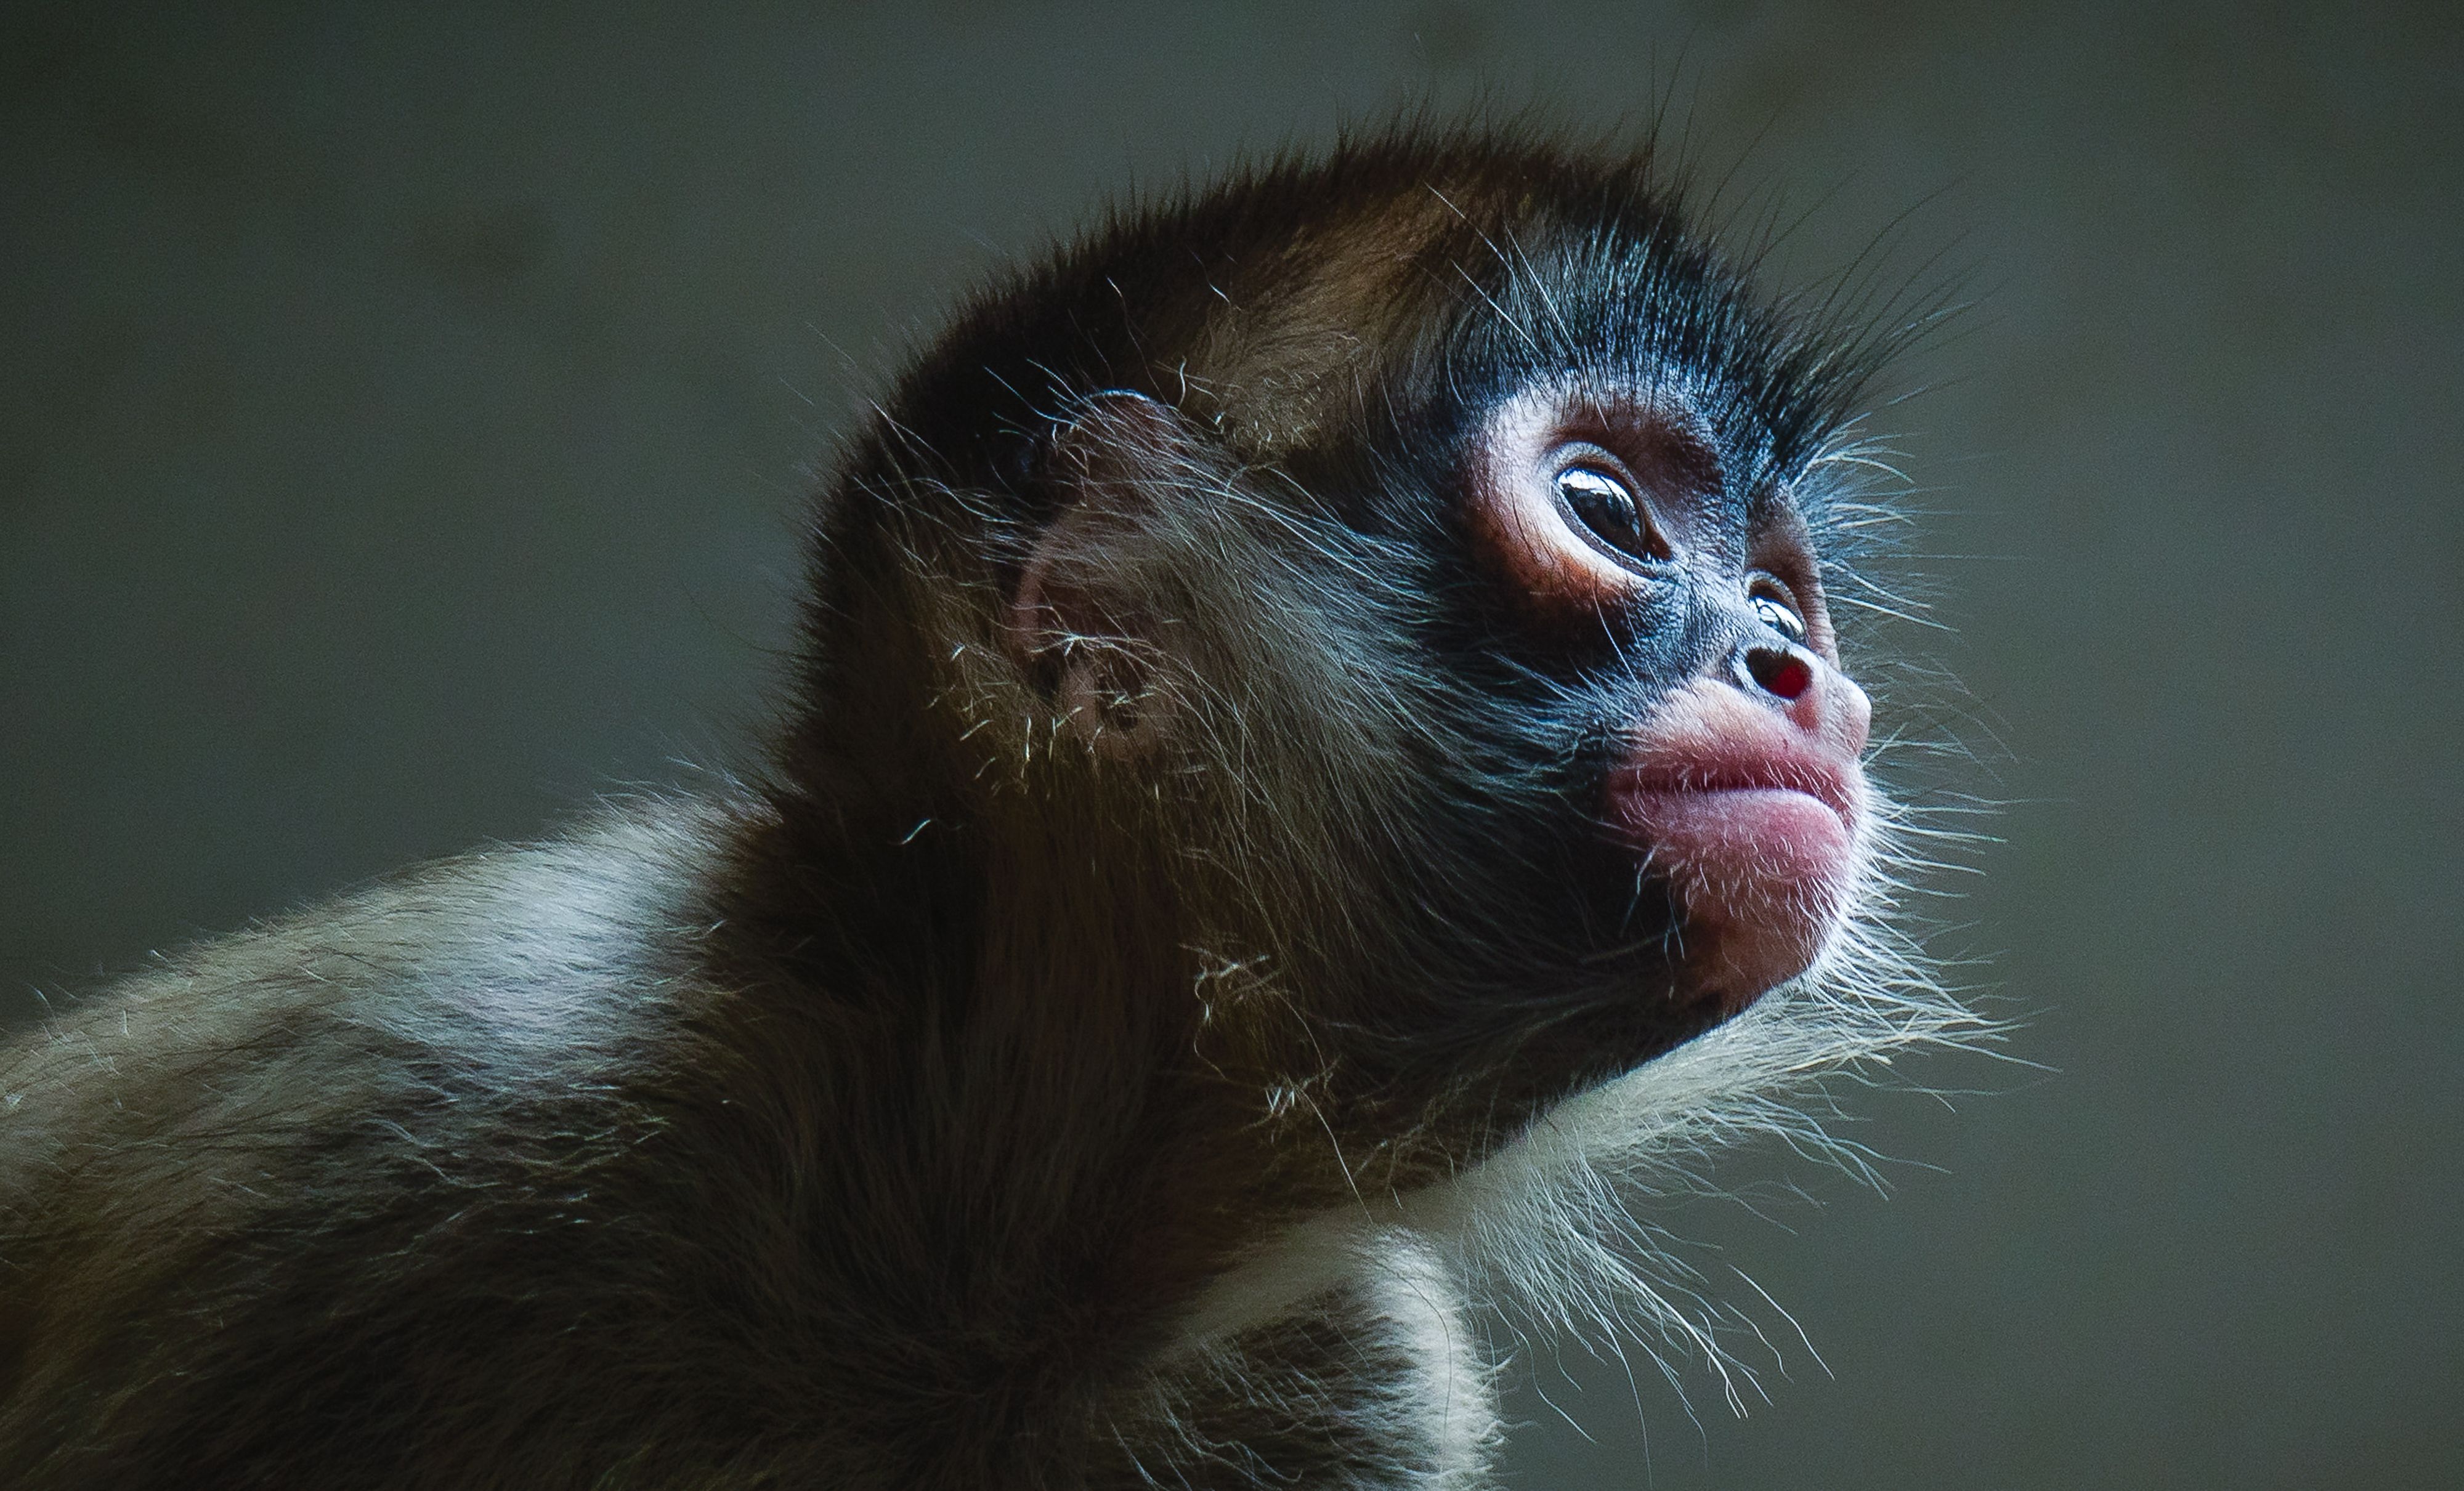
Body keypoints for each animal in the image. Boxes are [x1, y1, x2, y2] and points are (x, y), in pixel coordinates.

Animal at [0, 127, 1978, 1489]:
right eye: (1610, 513)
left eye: (1786, 599)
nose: (1807, 679)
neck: (962, 1266)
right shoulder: (419, 1093)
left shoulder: (1345, 1373)